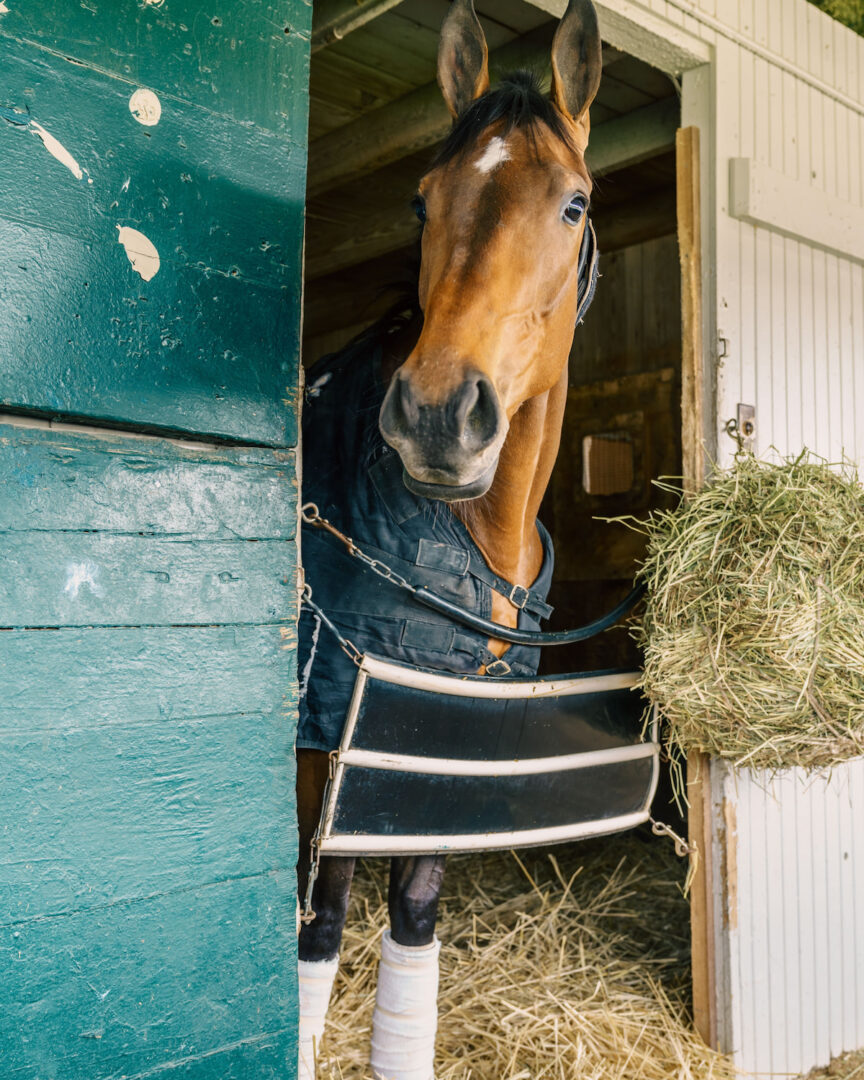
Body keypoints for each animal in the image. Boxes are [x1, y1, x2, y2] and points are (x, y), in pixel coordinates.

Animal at [296, 2, 604, 1077]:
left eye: (574, 205)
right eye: (423, 203)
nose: (435, 415)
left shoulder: (440, 752)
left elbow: (416, 916)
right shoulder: (335, 748)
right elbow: (319, 931)